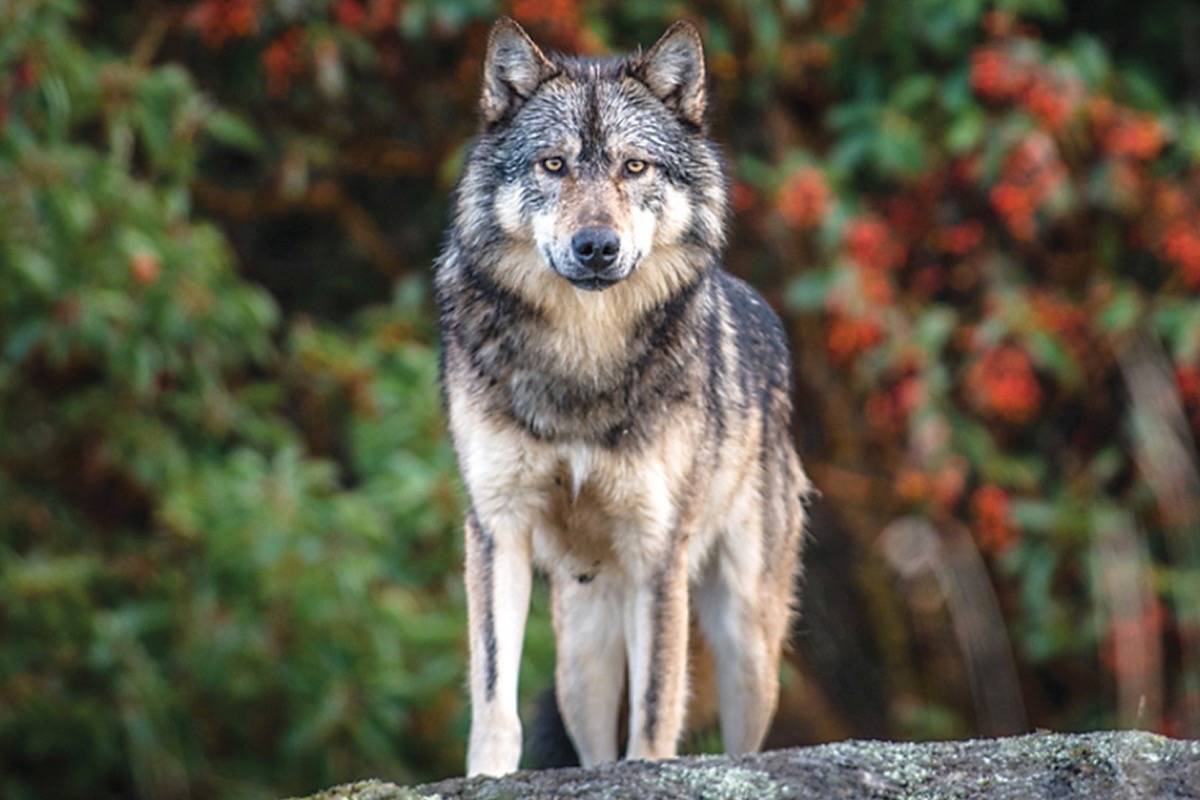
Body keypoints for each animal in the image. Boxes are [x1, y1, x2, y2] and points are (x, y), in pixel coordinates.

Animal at [434, 17, 811, 776]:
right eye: (553, 166)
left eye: (634, 168)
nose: (596, 247)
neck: (585, 357)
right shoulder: (496, 526)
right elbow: (493, 693)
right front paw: (486, 776)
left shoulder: (658, 548)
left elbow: (657, 708)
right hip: (582, 659)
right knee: (590, 742)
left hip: (746, 644)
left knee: (741, 737)